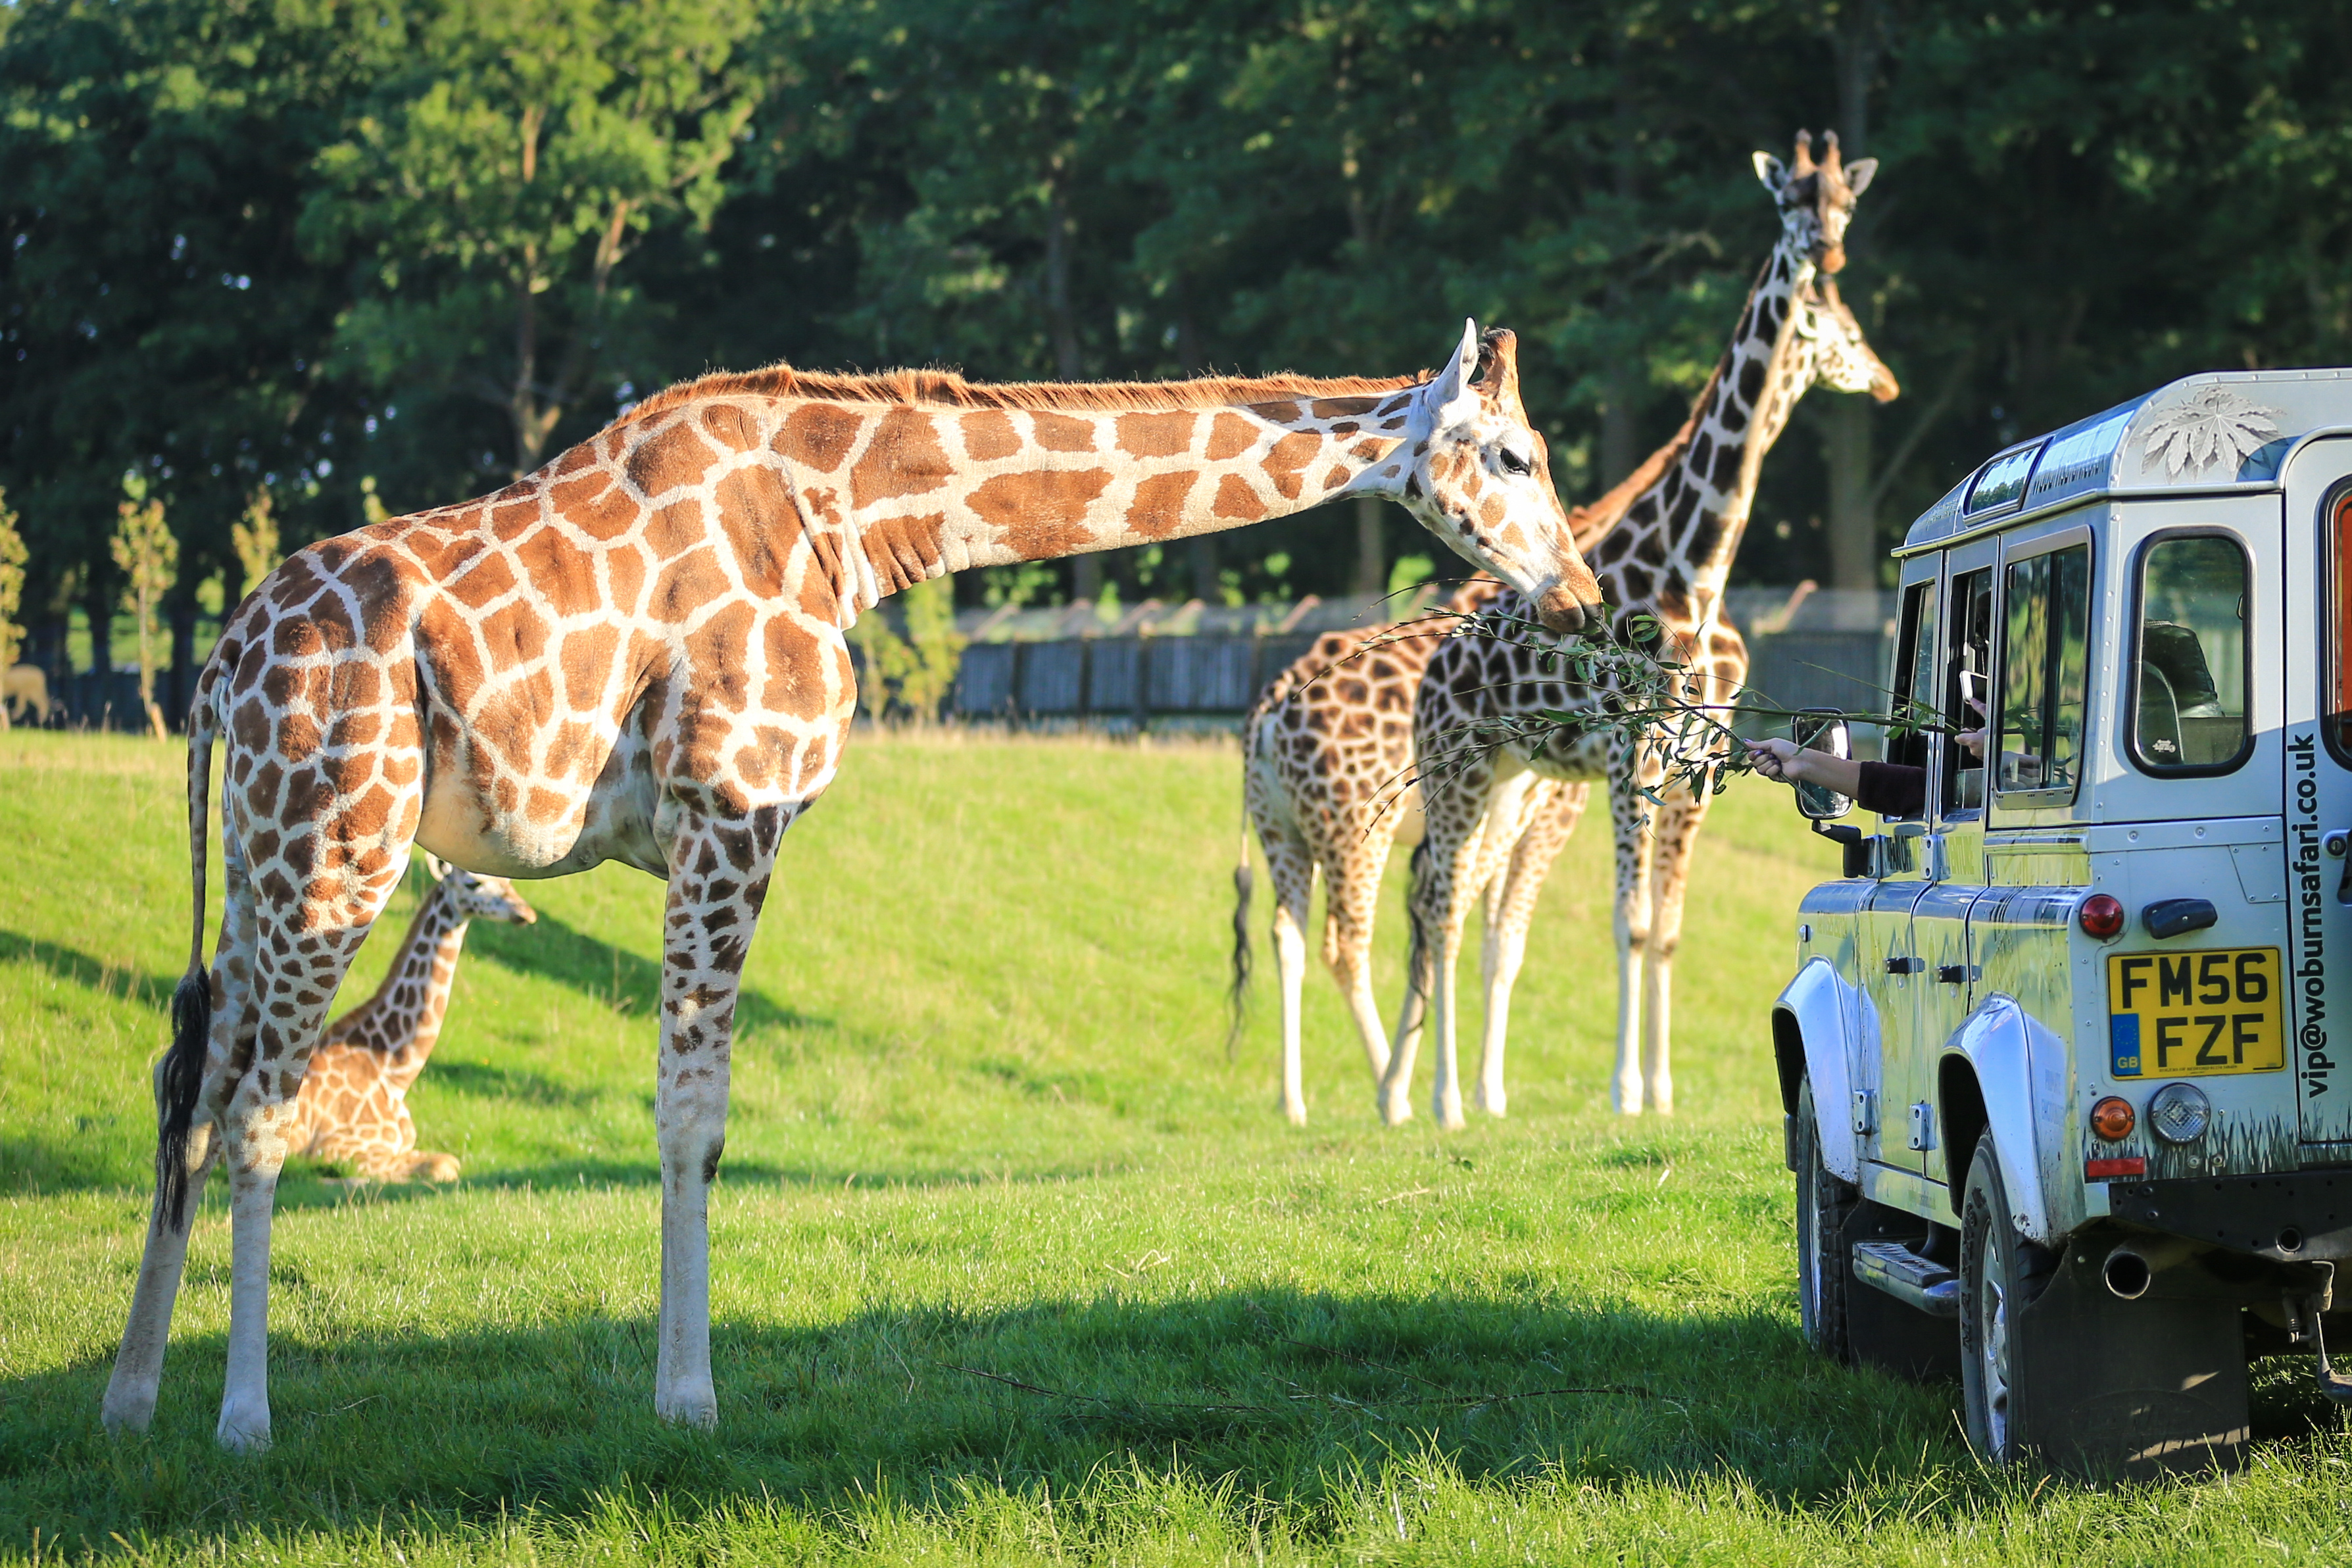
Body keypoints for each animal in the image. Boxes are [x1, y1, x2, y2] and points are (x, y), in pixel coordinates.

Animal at [283, 865, 538, 1185]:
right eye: (473, 883)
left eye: (508, 881)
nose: (526, 913)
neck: (394, 1073)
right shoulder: (335, 1148)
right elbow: (443, 1166)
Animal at [1373, 132, 1909, 1128]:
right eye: (1791, 204)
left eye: (1846, 205)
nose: (1827, 257)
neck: (1691, 568)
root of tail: (1436, 666)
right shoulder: (1638, 754)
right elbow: (1628, 921)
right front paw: (1628, 1091)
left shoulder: (1693, 756)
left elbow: (1663, 928)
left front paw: (1661, 1089)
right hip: (1457, 764)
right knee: (1441, 902)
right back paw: (1430, 1099)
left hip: (1512, 778)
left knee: (1471, 901)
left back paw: (1459, 1091)